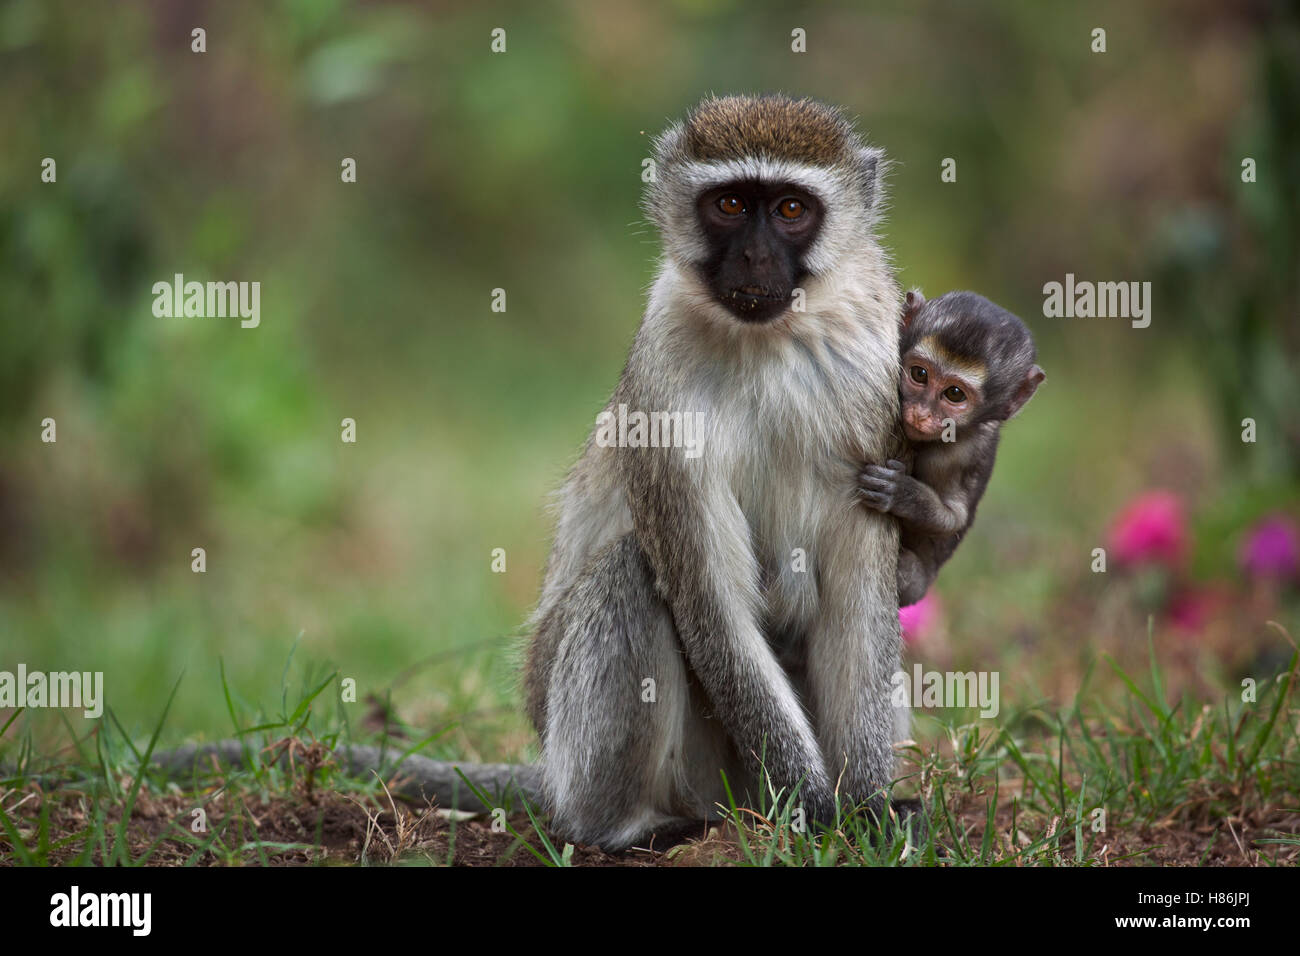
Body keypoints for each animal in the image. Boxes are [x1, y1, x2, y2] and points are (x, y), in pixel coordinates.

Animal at [522, 93, 912, 851]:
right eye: (730, 204)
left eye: (790, 209)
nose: (756, 255)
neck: (772, 339)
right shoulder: (661, 385)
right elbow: (711, 599)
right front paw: (813, 804)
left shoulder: (880, 376)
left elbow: (860, 590)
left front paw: (868, 805)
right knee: (630, 572)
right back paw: (629, 827)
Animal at [859, 290, 1045, 608]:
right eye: (919, 374)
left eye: (954, 394)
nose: (921, 414)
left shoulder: (958, 455)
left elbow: (953, 519)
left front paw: (899, 493)